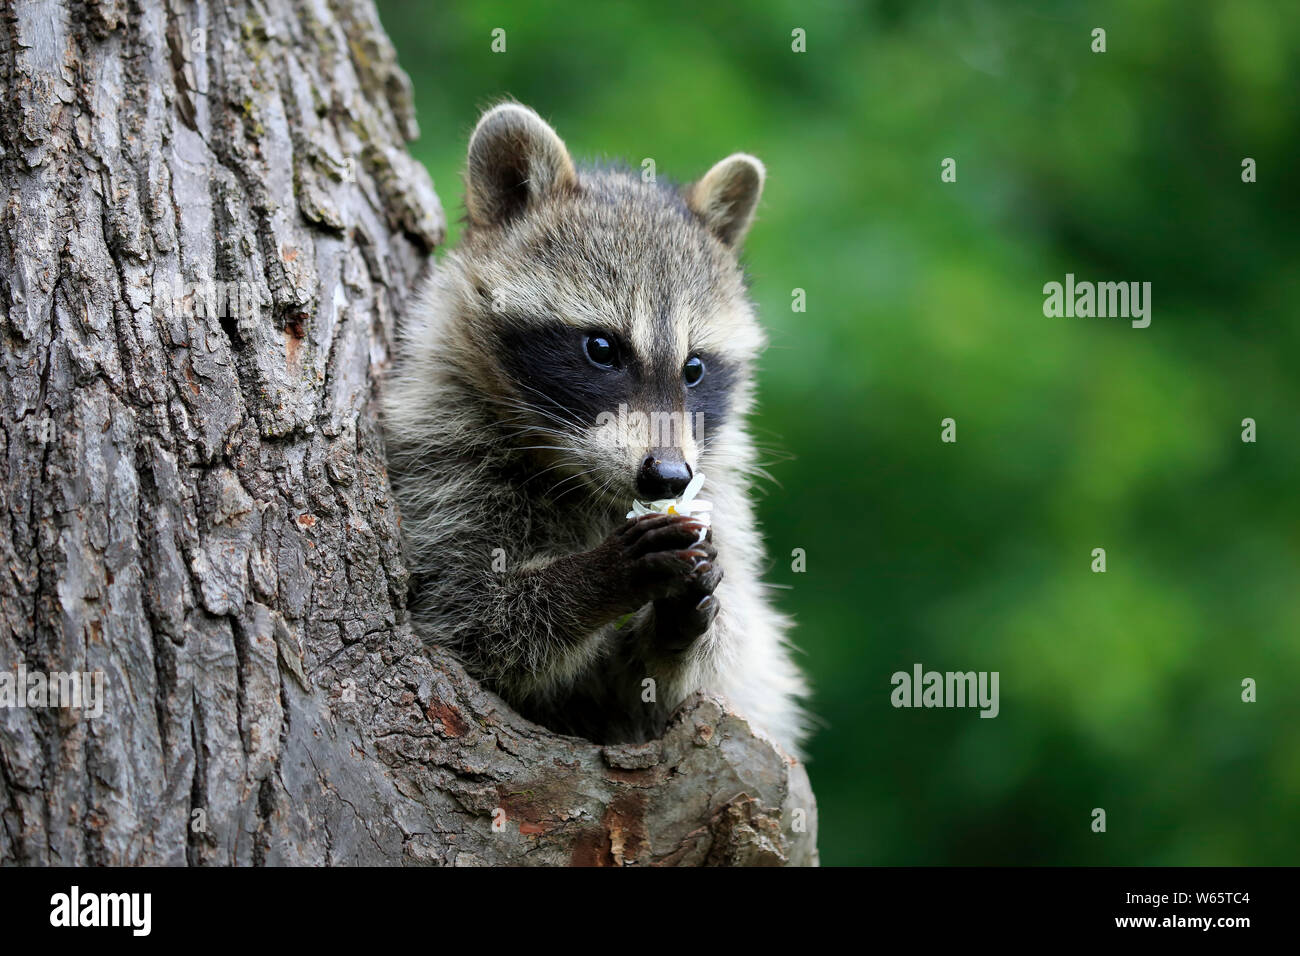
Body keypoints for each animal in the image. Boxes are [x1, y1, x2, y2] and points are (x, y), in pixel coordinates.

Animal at [383, 104, 808, 757]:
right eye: (602, 348)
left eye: (694, 368)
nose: (667, 476)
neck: (575, 474)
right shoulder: (443, 454)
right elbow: (475, 617)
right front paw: (598, 577)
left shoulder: (722, 496)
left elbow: (659, 688)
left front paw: (677, 629)